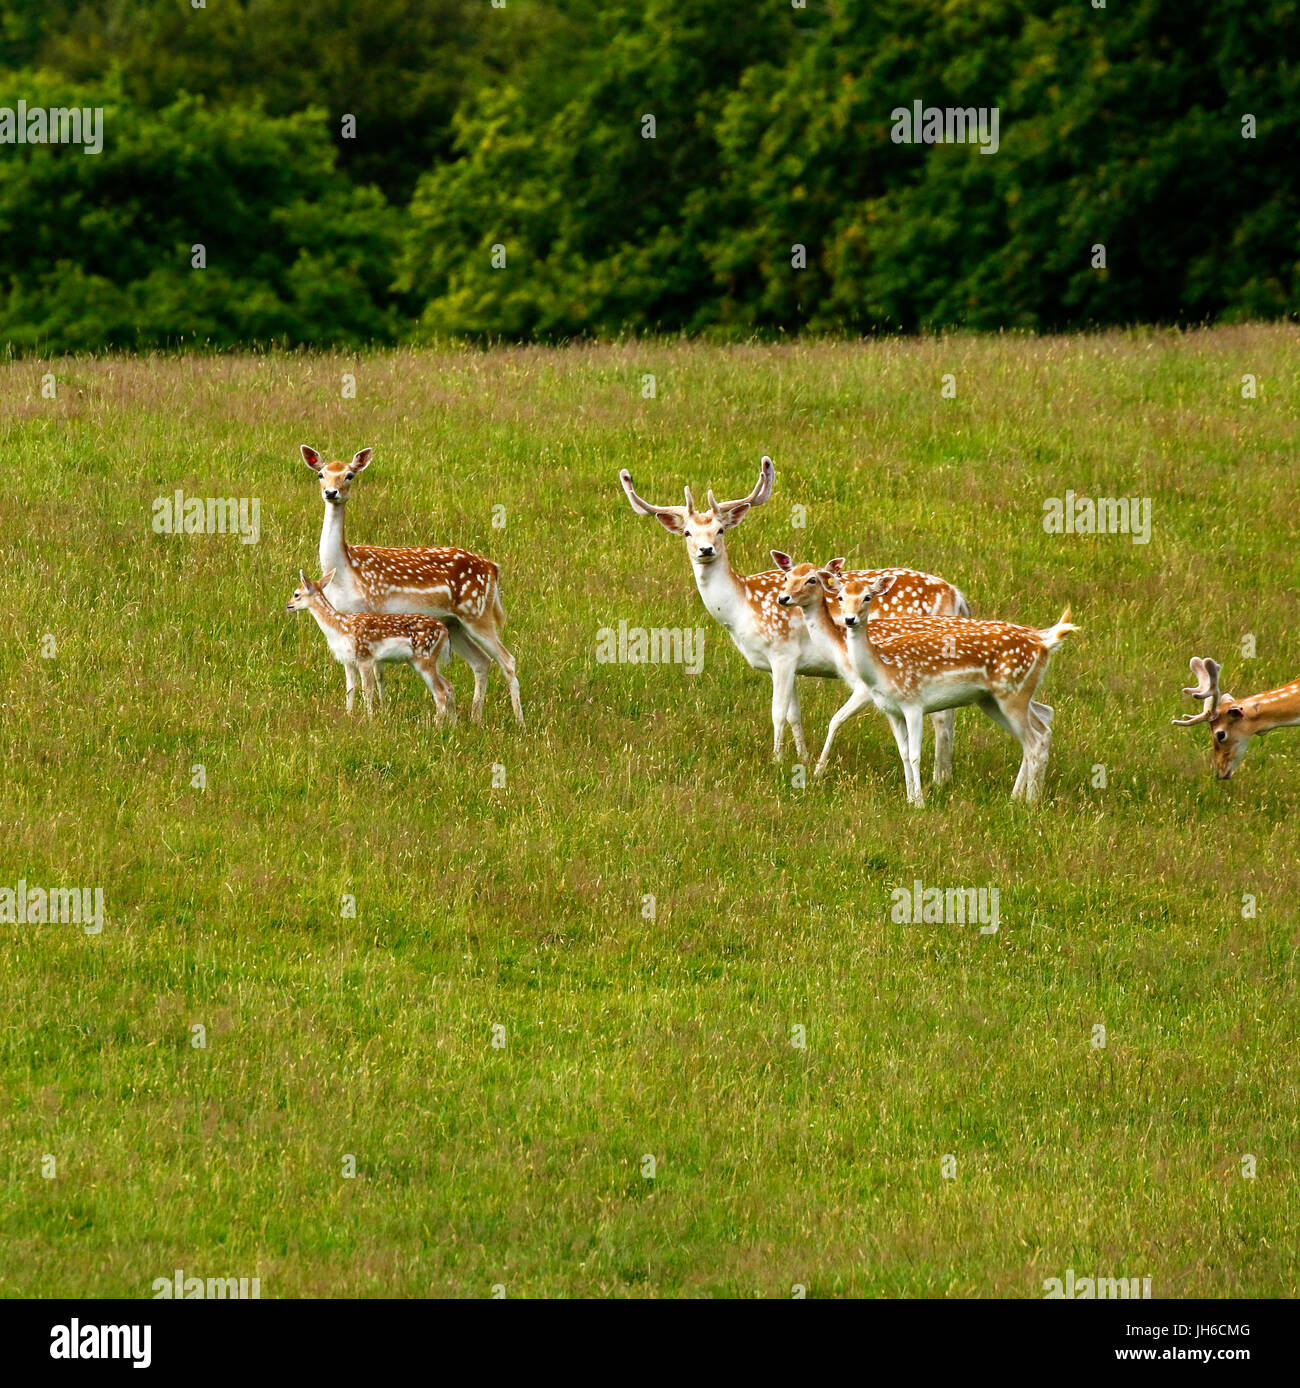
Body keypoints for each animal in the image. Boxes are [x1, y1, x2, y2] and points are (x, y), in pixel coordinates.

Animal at [286, 569, 455, 720]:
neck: (340, 628)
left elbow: (367, 690)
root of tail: (444, 630)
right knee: (449, 686)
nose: (287, 605)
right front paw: (349, 714)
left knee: (441, 692)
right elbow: (350, 689)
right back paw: (452, 724)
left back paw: (436, 725)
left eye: (296, 594)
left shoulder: (365, 657)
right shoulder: (348, 661)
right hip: (428, 660)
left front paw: (369, 718)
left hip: (424, 658)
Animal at [618, 457, 969, 779]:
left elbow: (777, 712)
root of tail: (957, 597)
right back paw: (946, 775)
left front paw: (776, 760)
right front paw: (801, 756)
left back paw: (938, 779)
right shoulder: (795, 662)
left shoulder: (782, 652)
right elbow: (794, 714)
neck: (740, 609)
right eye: (687, 533)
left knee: (941, 716)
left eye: (720, 530)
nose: (705, 550)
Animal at [821, 567, 1077, 805]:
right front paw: (909, 798)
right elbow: (903, 753)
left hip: (1014, 694)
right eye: (840, 597)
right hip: (992, 701)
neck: (882, 669)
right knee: (1038, 734)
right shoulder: (891, 710)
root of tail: (1043, 643)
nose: (850, 620)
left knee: (1034, 742)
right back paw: (1019, 797)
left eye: (867, 597)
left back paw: (1030, 802)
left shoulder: (913, 703)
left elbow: (914, 754)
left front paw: (919, 803)